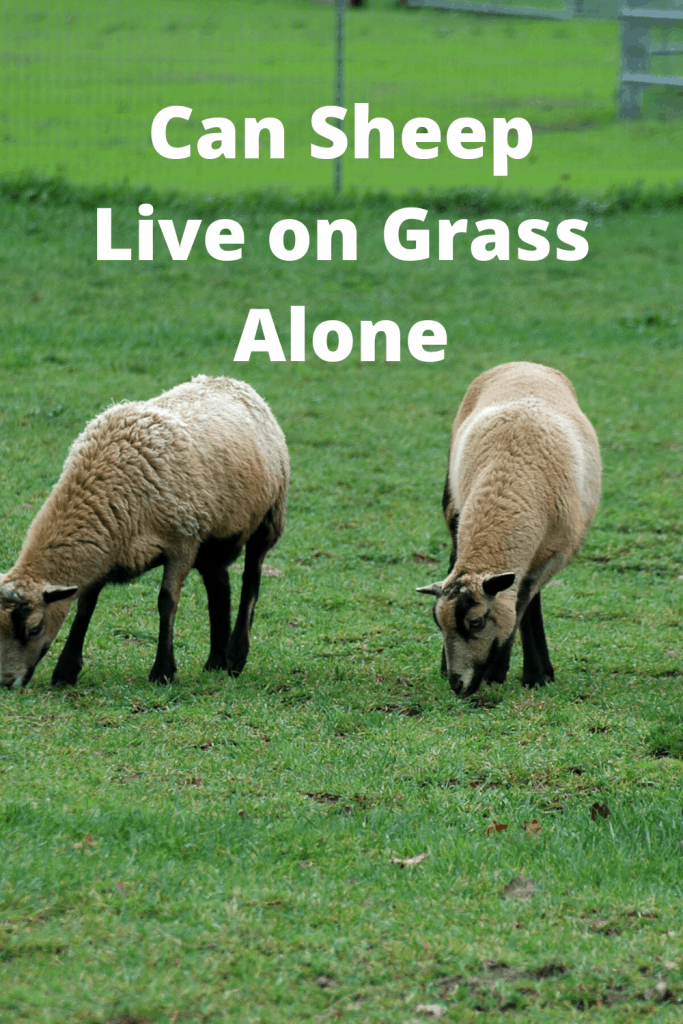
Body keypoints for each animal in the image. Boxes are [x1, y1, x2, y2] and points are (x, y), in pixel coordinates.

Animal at [0, 375, 289, 689]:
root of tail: (231, 381)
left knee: (250, 581)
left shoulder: (183, 543)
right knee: (220, 587)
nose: (6, 682)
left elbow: (167, 602)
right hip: (213, 537)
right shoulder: (108, 549)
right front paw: (66, 671)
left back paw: (235, 658)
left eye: (35, 628)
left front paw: (163, 671)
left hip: (268, 517)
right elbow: (86, 605)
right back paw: (215, 662)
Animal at [417, 361, 600, 698]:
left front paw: (523, 674)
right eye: (438, 624)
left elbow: (521, 602)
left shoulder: (556, 554)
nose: (457, 685)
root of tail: (526, 363)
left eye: (477, 623)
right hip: (452, 502)